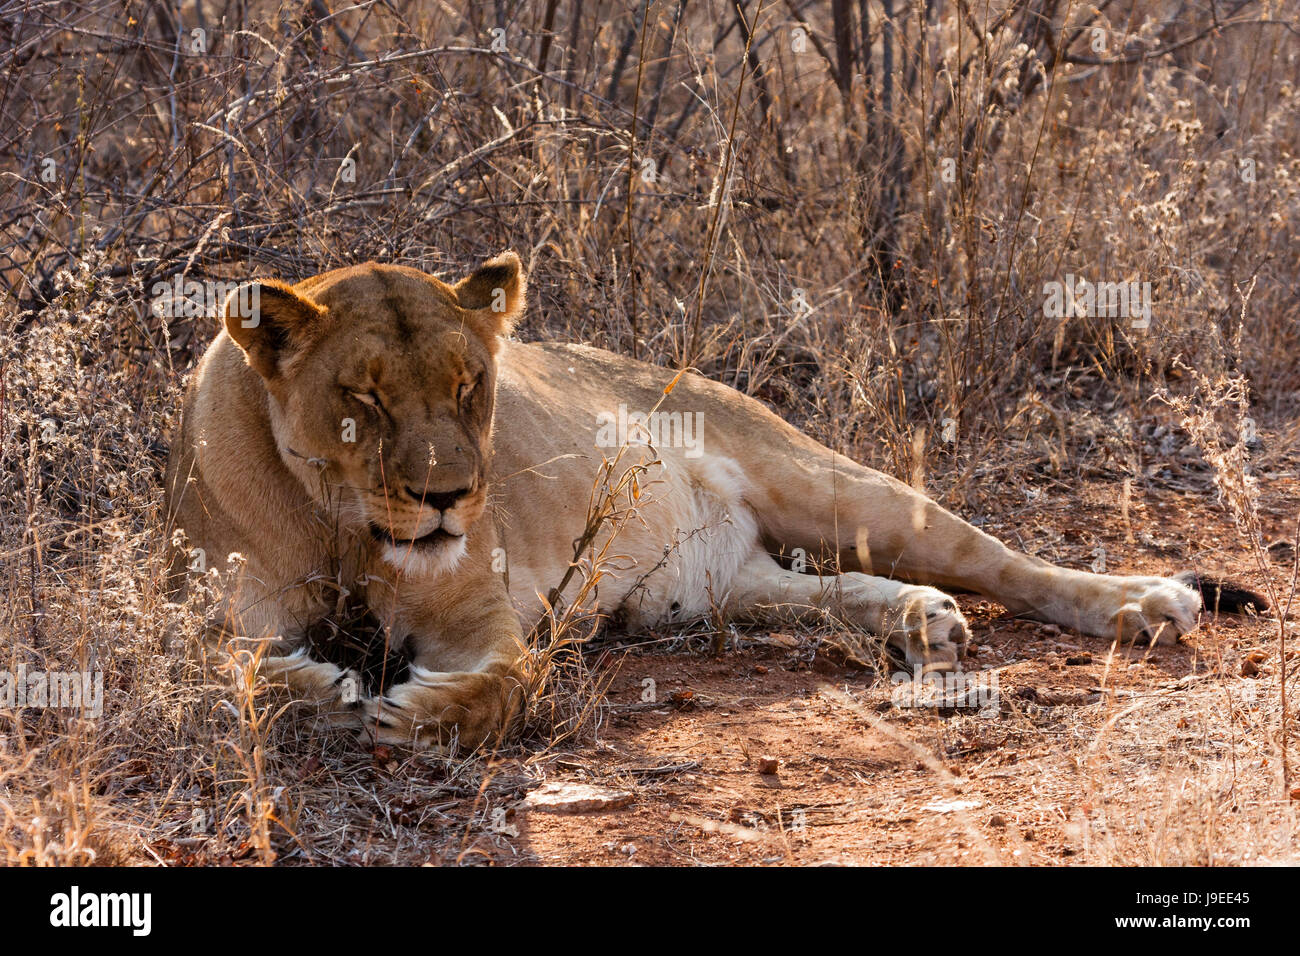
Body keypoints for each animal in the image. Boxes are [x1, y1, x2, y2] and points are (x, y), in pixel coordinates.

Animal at [164, 252, 1264, 750]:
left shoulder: (483, 619)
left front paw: (410, 710)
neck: (344, 526)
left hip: (829, 481)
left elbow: (499, 684)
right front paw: (327, 688)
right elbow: (242, 672)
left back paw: (1141, 602)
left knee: (1005, 562)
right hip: (715, 587)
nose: (447, 498)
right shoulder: (224, 616)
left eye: (470, 384)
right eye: (364, 399)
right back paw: (922, 620)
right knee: (829, 592)